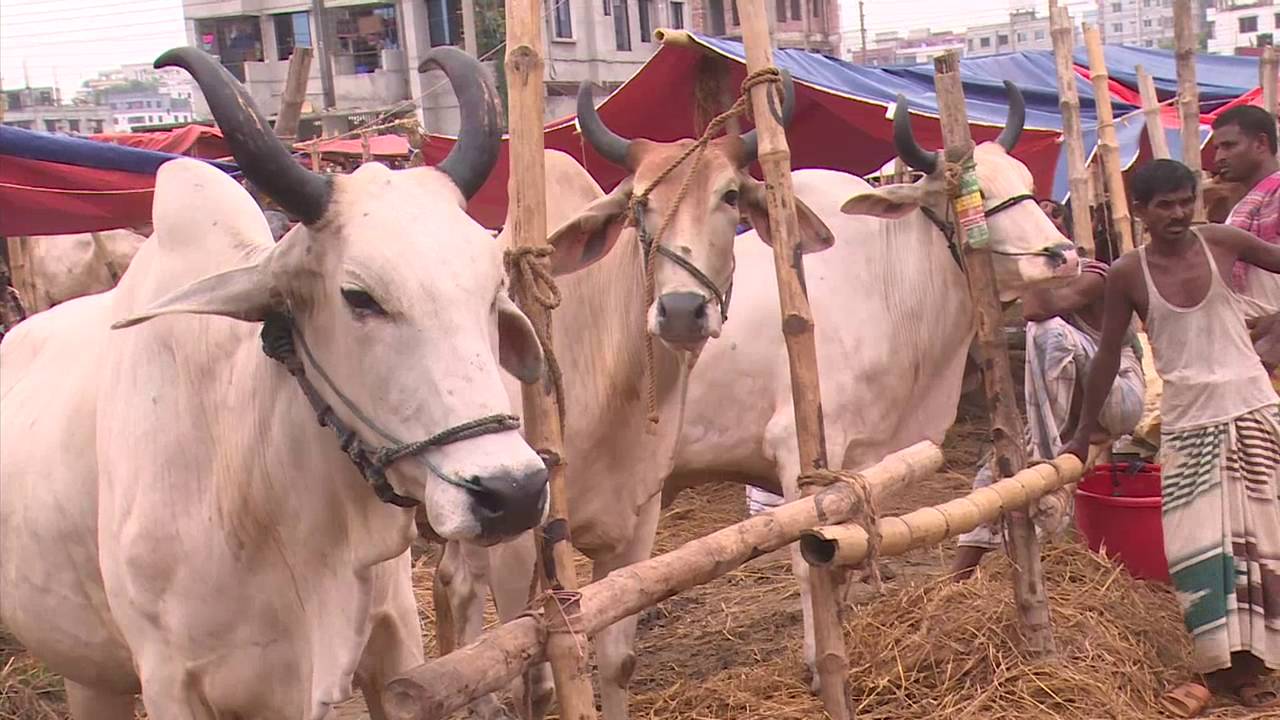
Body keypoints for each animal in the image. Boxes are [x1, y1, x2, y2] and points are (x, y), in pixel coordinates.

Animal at [432, 77, 837, 720]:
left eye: (730, 195)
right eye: (639, 207)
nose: (681, 310)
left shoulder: (637, 522)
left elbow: (617, 659)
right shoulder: (517, 546)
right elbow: (534, 681)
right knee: (453, 591)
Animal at [665, 86, 1080, 688]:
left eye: (1026, 177)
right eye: (969, 193)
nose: (1063, 255)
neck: (887, 279)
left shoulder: (862, 461)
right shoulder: (799, 453)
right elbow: (808, 562)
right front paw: (820, 666)